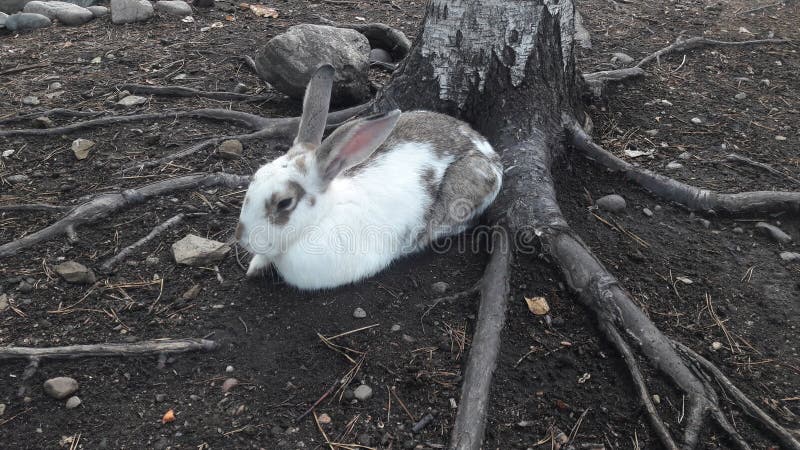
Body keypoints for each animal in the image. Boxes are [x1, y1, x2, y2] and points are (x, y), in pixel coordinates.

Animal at [236, 64, 503, 290]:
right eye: (254, 177)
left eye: (284, 203)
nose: (242, 239)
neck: (323, 215)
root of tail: (487, 149)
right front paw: (255, 267)